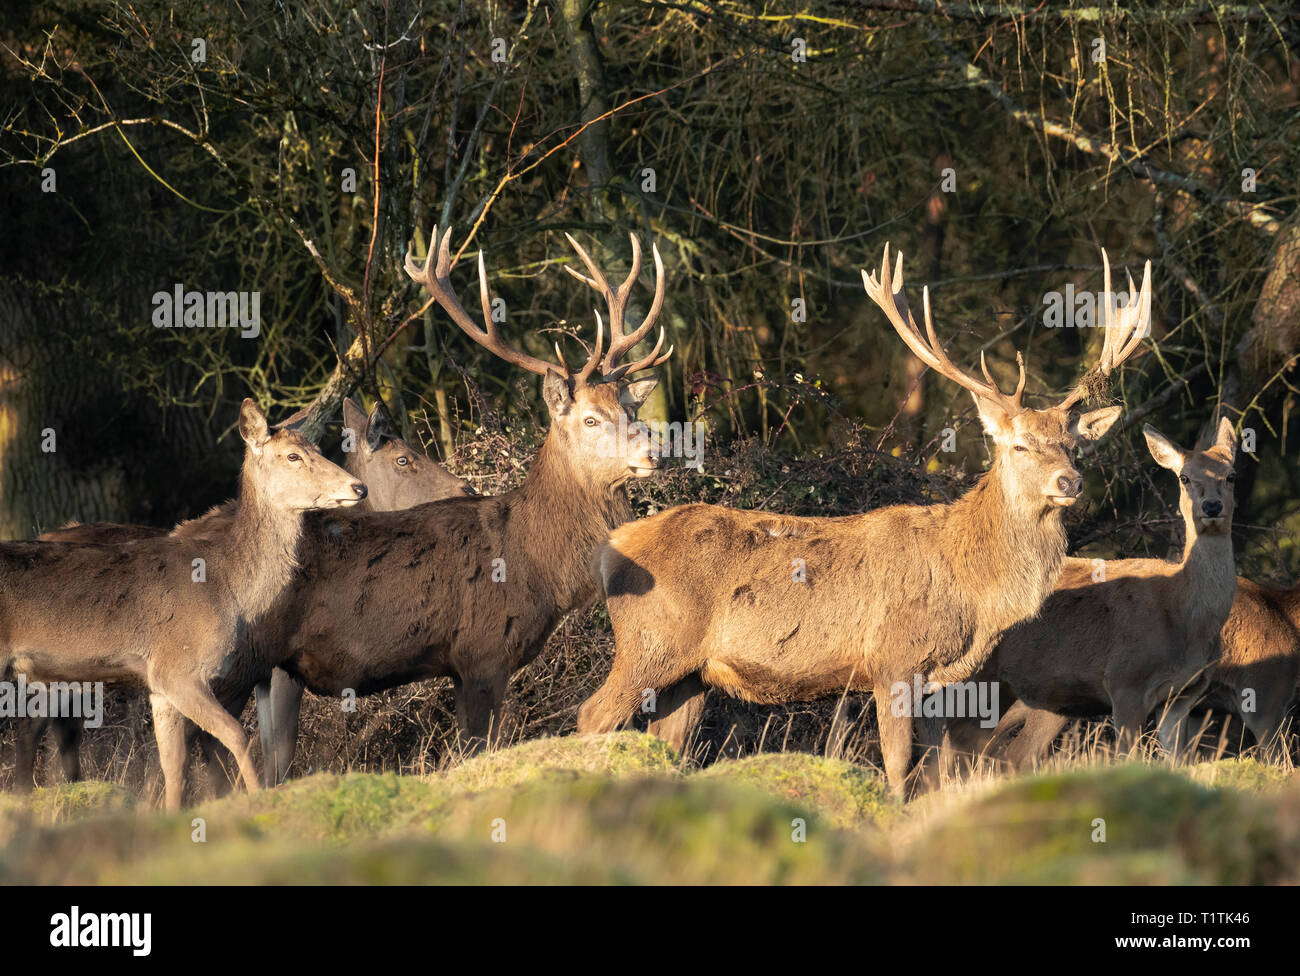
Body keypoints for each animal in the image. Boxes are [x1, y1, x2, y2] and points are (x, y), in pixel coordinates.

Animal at [576, 245, 1151, 796]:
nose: (1070, 482)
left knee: (665, 740)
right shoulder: (892, 659)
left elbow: (938, 770)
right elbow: (897, 765)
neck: (973, 585)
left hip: (690, 673)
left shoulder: (938, 680)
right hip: (650, 643)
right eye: (1019, 444)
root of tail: (611, 545)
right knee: (592, 715)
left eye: (1074, 446)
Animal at [945, 418, 1240, 771]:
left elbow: (1178, 760)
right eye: (1184, 477)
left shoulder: (1185, 695)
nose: (1212, 506)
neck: (1183, 617)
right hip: (973, 675)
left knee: (1015, 754)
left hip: (1048, 697)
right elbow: (1129, 758)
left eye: (1231, 475)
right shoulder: (1126, 681)